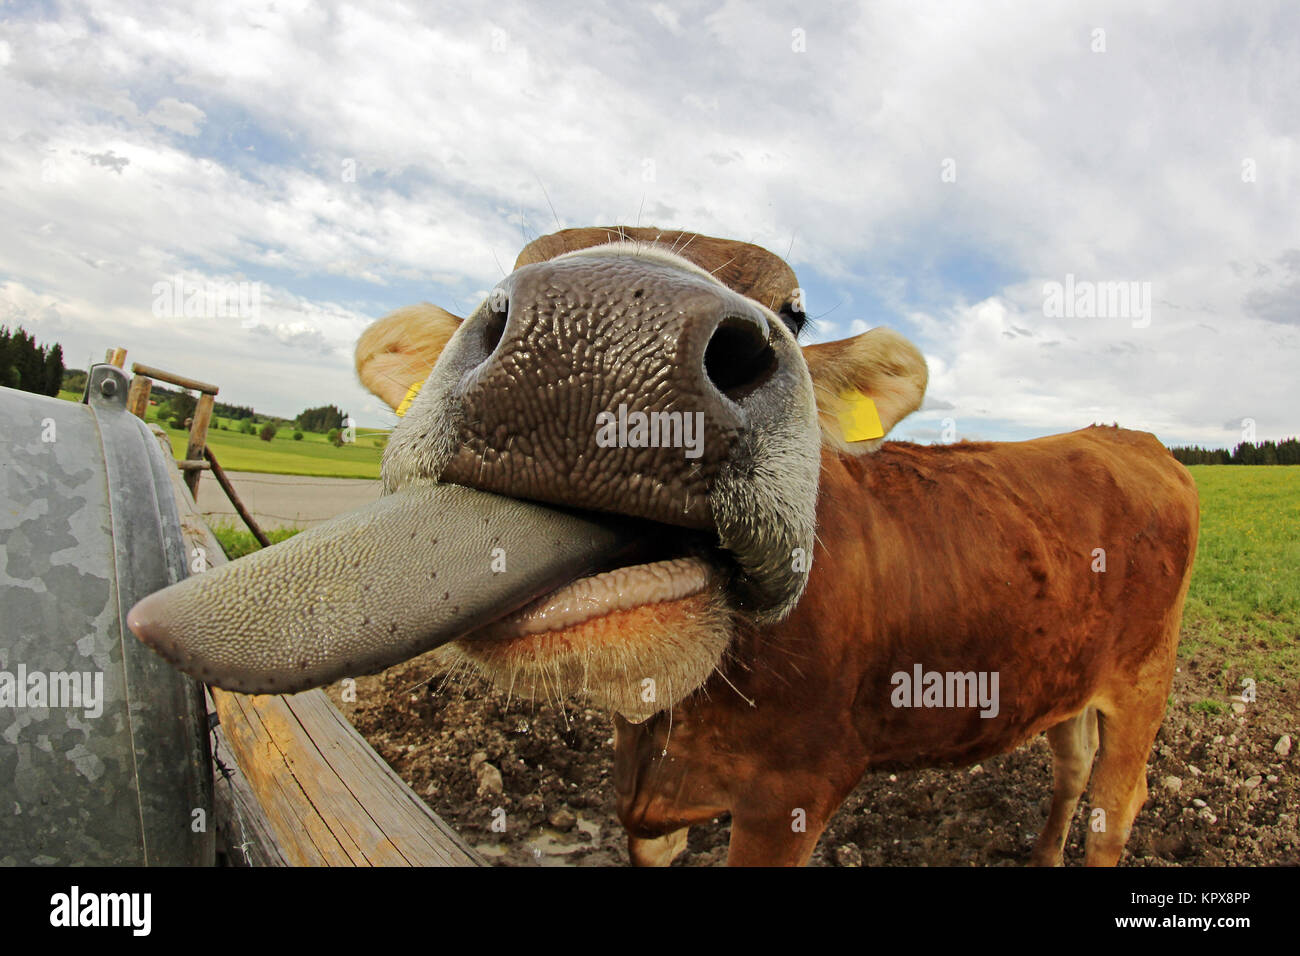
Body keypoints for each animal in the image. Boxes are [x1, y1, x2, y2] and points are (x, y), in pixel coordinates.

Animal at [128, 226, 1200, 866]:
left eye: (797, 309)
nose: (606, 332)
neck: (674, 722)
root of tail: (1130, 438)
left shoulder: (795, 797)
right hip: (1062, 676)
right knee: (1068, 765)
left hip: (1145, 684)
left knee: (1117, 803)